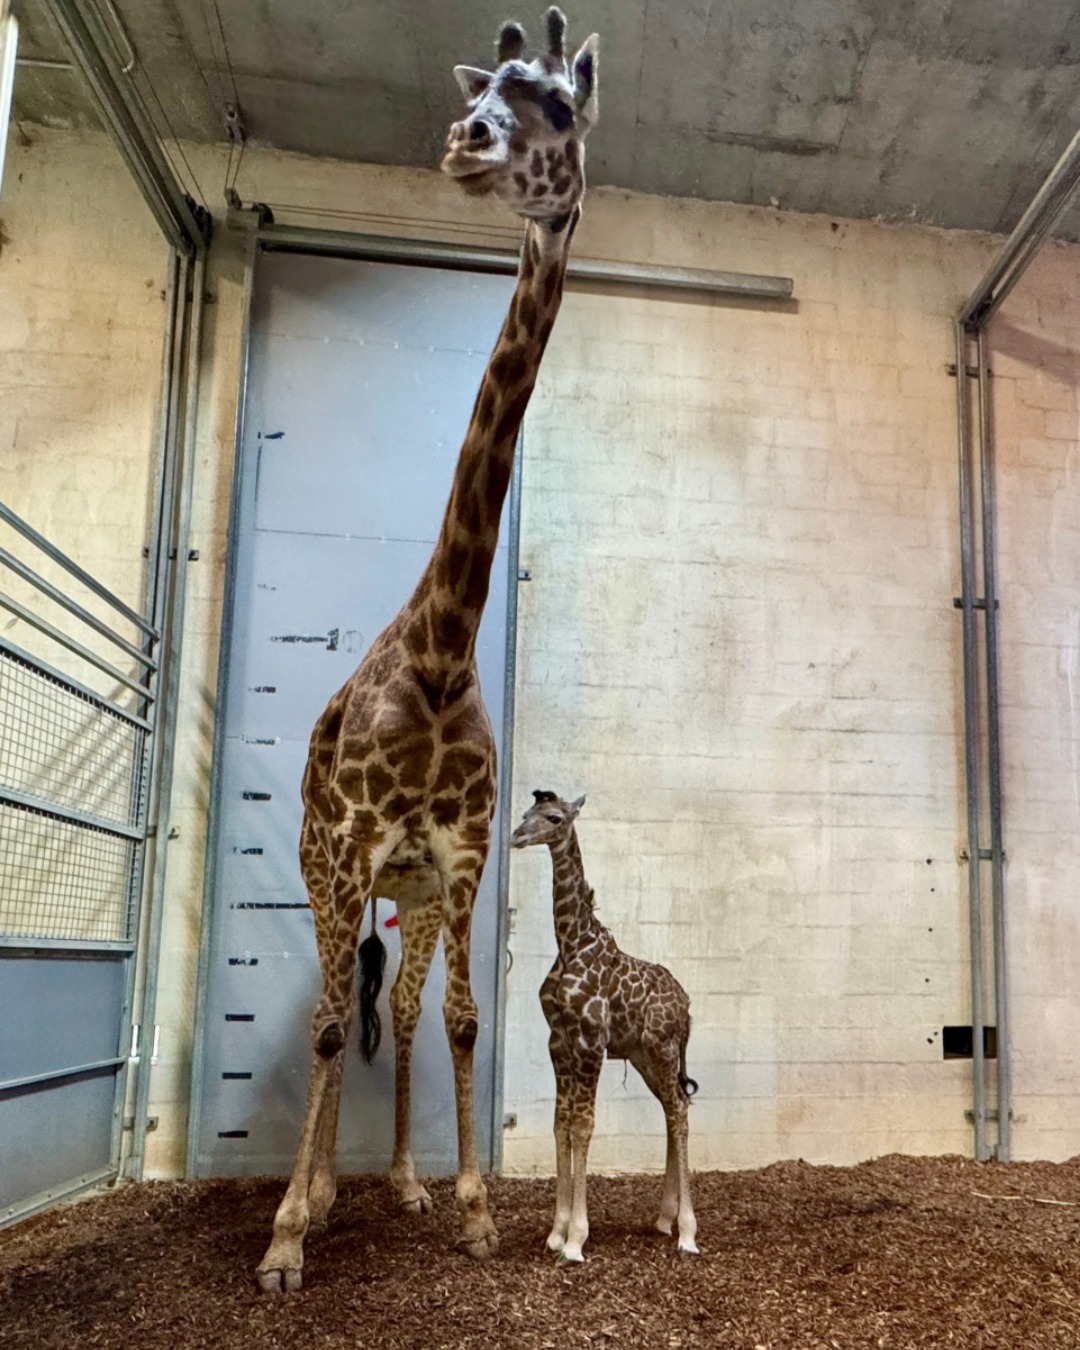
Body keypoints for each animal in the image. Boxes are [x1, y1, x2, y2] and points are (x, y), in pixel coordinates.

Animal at [255, 9, 599, 1294]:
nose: (467, 143)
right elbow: (321, 1028)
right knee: (328, 1014)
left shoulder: (457, 865)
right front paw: (288, 1239)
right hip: (325, 873)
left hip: (402, 898)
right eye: (485, 85)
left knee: (393, 1013)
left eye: (561, 102)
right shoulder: (355, 845)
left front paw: (470, 1208)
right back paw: (309, 1197)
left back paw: (393, 1181)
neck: (445, 653)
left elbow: (456, 1021)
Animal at [510, 791, 700, 1263]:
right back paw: (665, 1219)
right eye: (525, 814)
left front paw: (576, 1240)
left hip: (663, 1050)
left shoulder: (590, 1043)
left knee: (679, 1111)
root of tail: (687, 1007)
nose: (516, 836)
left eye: (554, 818)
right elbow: (560, 1124)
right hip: (646, 1056)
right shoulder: (558, 1042)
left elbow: (583, 1126)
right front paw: (556, 1233)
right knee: (673, 1109)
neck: (571, 943)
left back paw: (688, 1233)